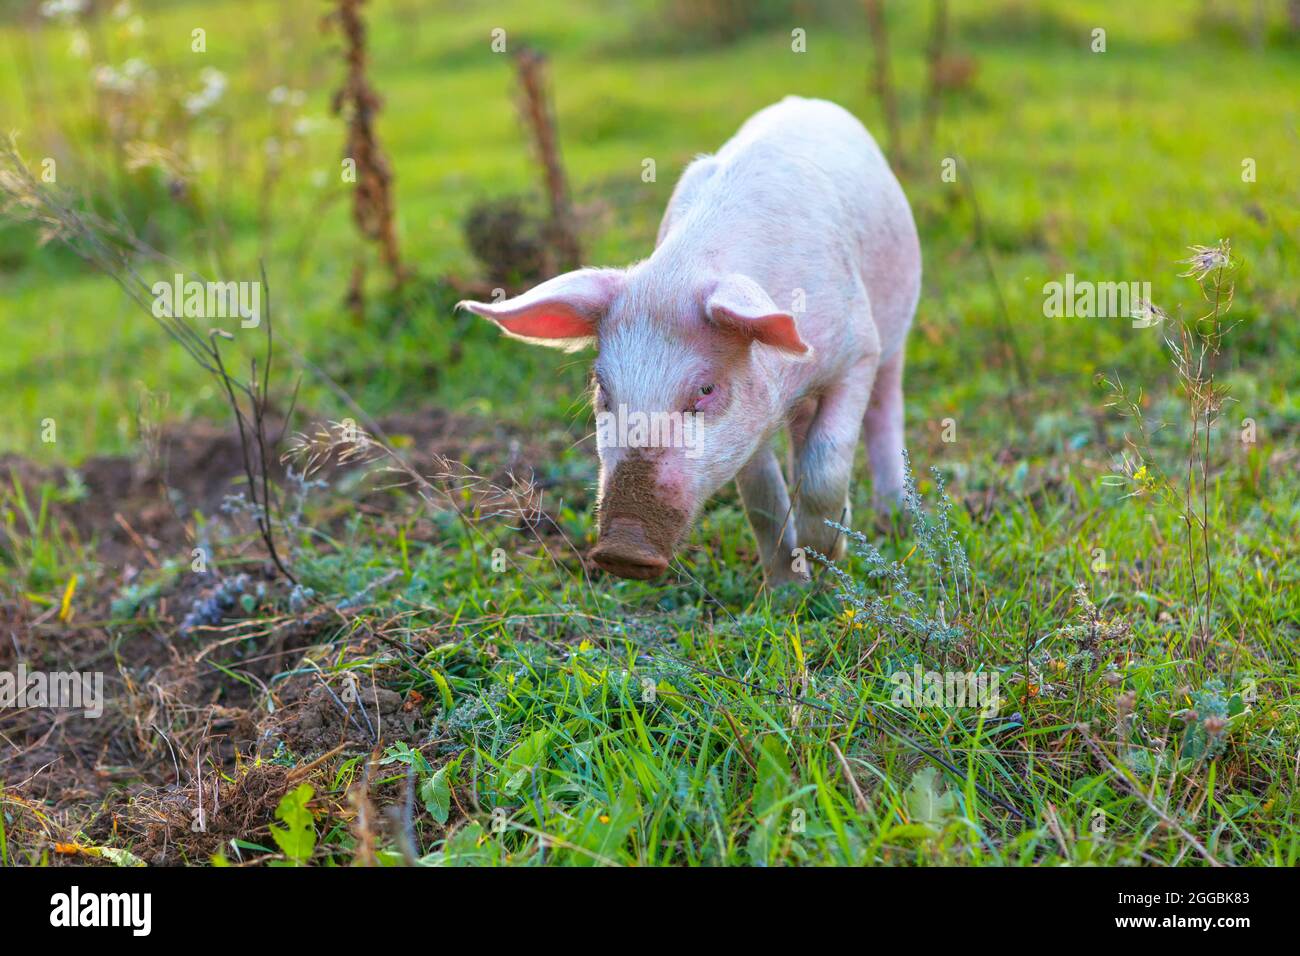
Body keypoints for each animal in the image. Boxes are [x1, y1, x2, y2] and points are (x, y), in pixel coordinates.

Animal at [459, 96, 921, 585]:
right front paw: (786, 590)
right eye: (602, 388)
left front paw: (827, 562)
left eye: (705, 389)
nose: (623, 549)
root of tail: (807, 102)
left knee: (885, 409)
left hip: (894, 330)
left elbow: (827, 465)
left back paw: (894, 519)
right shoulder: (754, 417)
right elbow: (761, 498)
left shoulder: (858, 352)